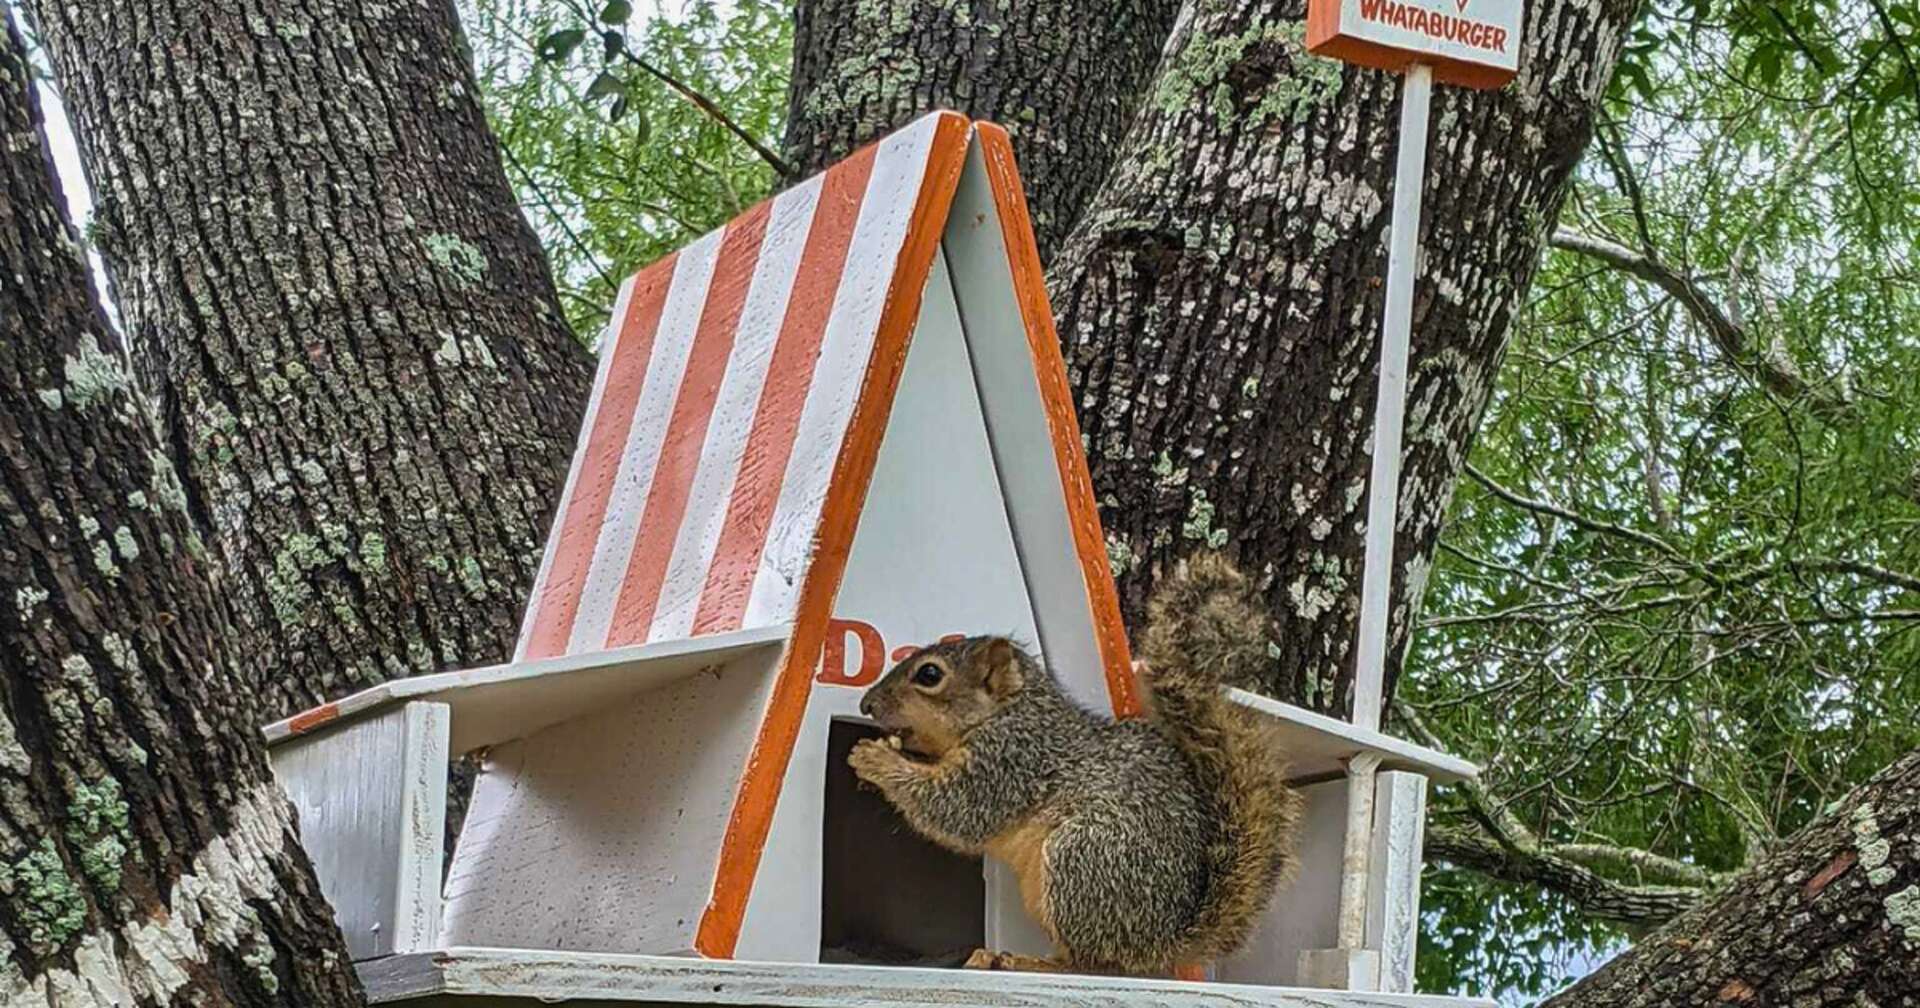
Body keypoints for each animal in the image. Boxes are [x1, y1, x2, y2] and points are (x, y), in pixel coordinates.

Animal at [848, 554, 1301, 976]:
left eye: (929, 674)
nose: (866, 704)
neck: (1007, 710)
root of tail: (1162, 942)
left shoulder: (1011, 759)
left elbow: (956, 809)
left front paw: (875, 759)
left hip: (1082, 857)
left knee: (1093, 963)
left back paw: (1026, 961)